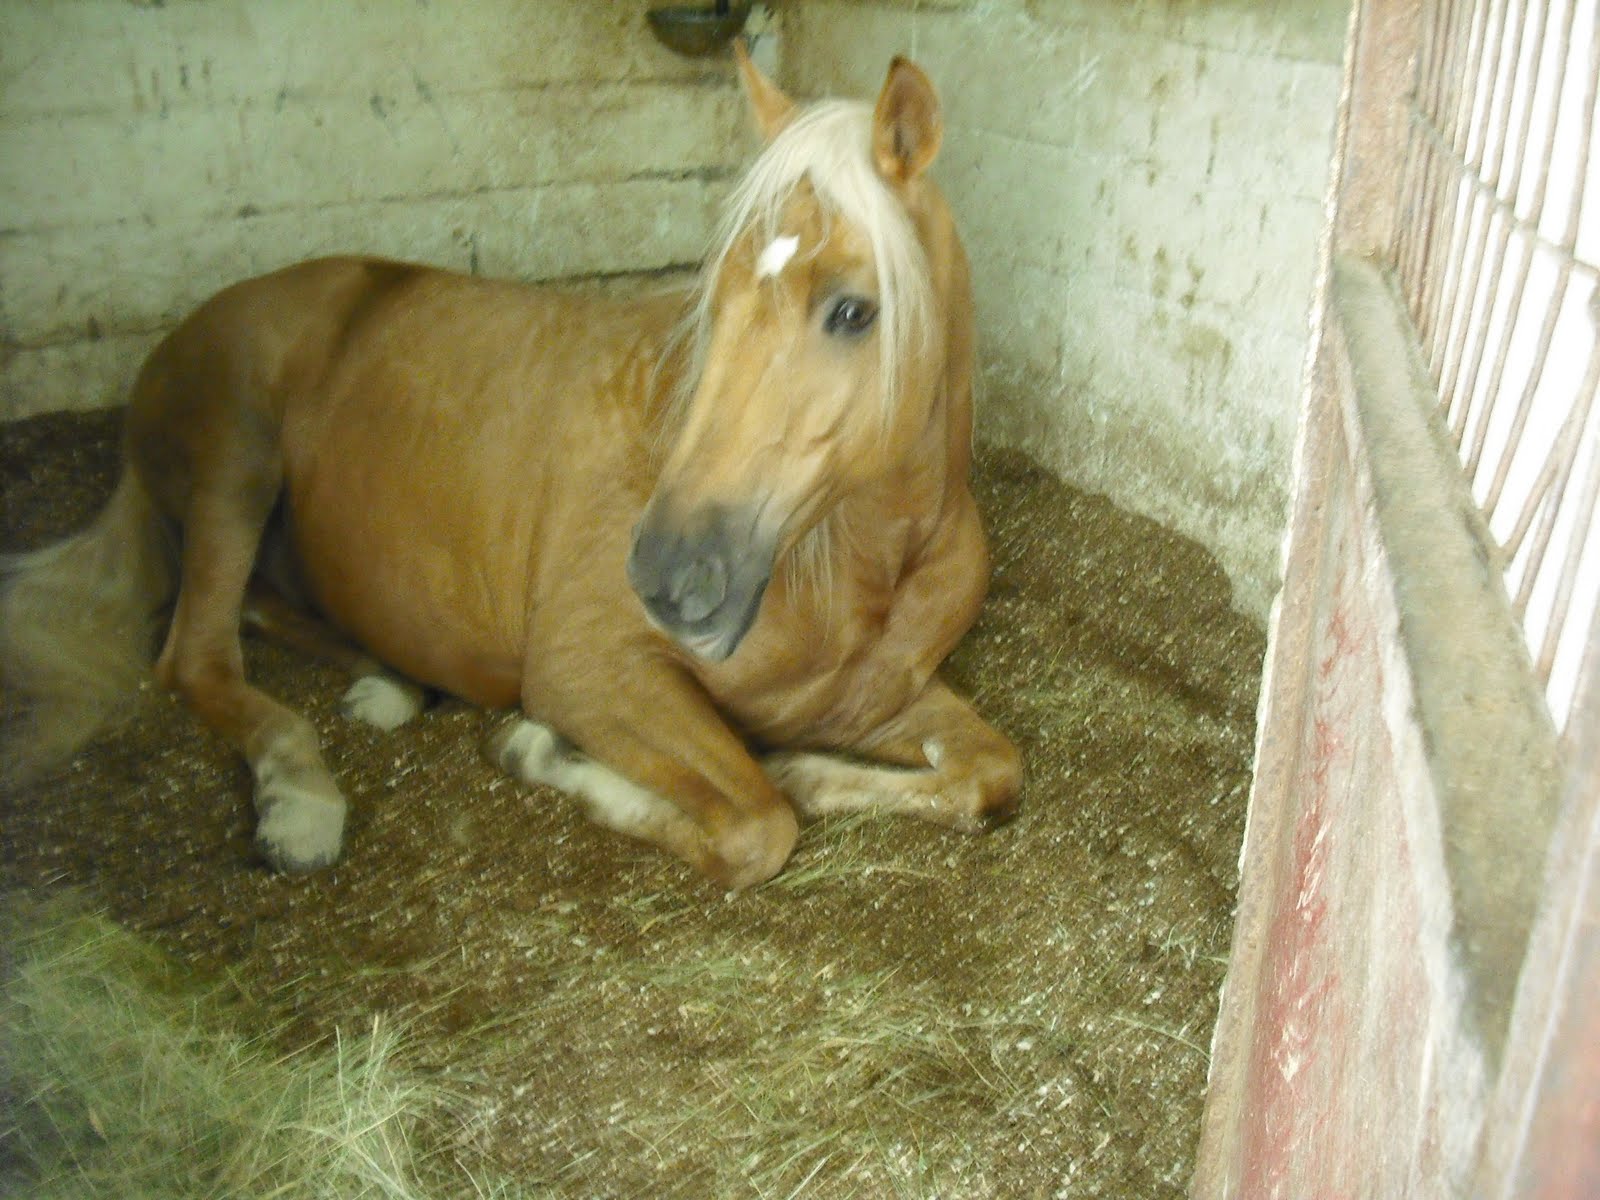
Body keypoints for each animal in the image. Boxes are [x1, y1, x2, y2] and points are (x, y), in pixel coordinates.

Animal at [0, 48, 1021, 889]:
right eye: (715, 293)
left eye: (854, 311)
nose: (664, 571)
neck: (867, 565)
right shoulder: (589, 674)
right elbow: (757, 829)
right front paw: (549, 756)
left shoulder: (875, 698)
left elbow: (991, 774)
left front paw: (807, 769)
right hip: (234, 471)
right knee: (198, 656)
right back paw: (301, 806)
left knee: (255, 609)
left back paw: (388, 682)